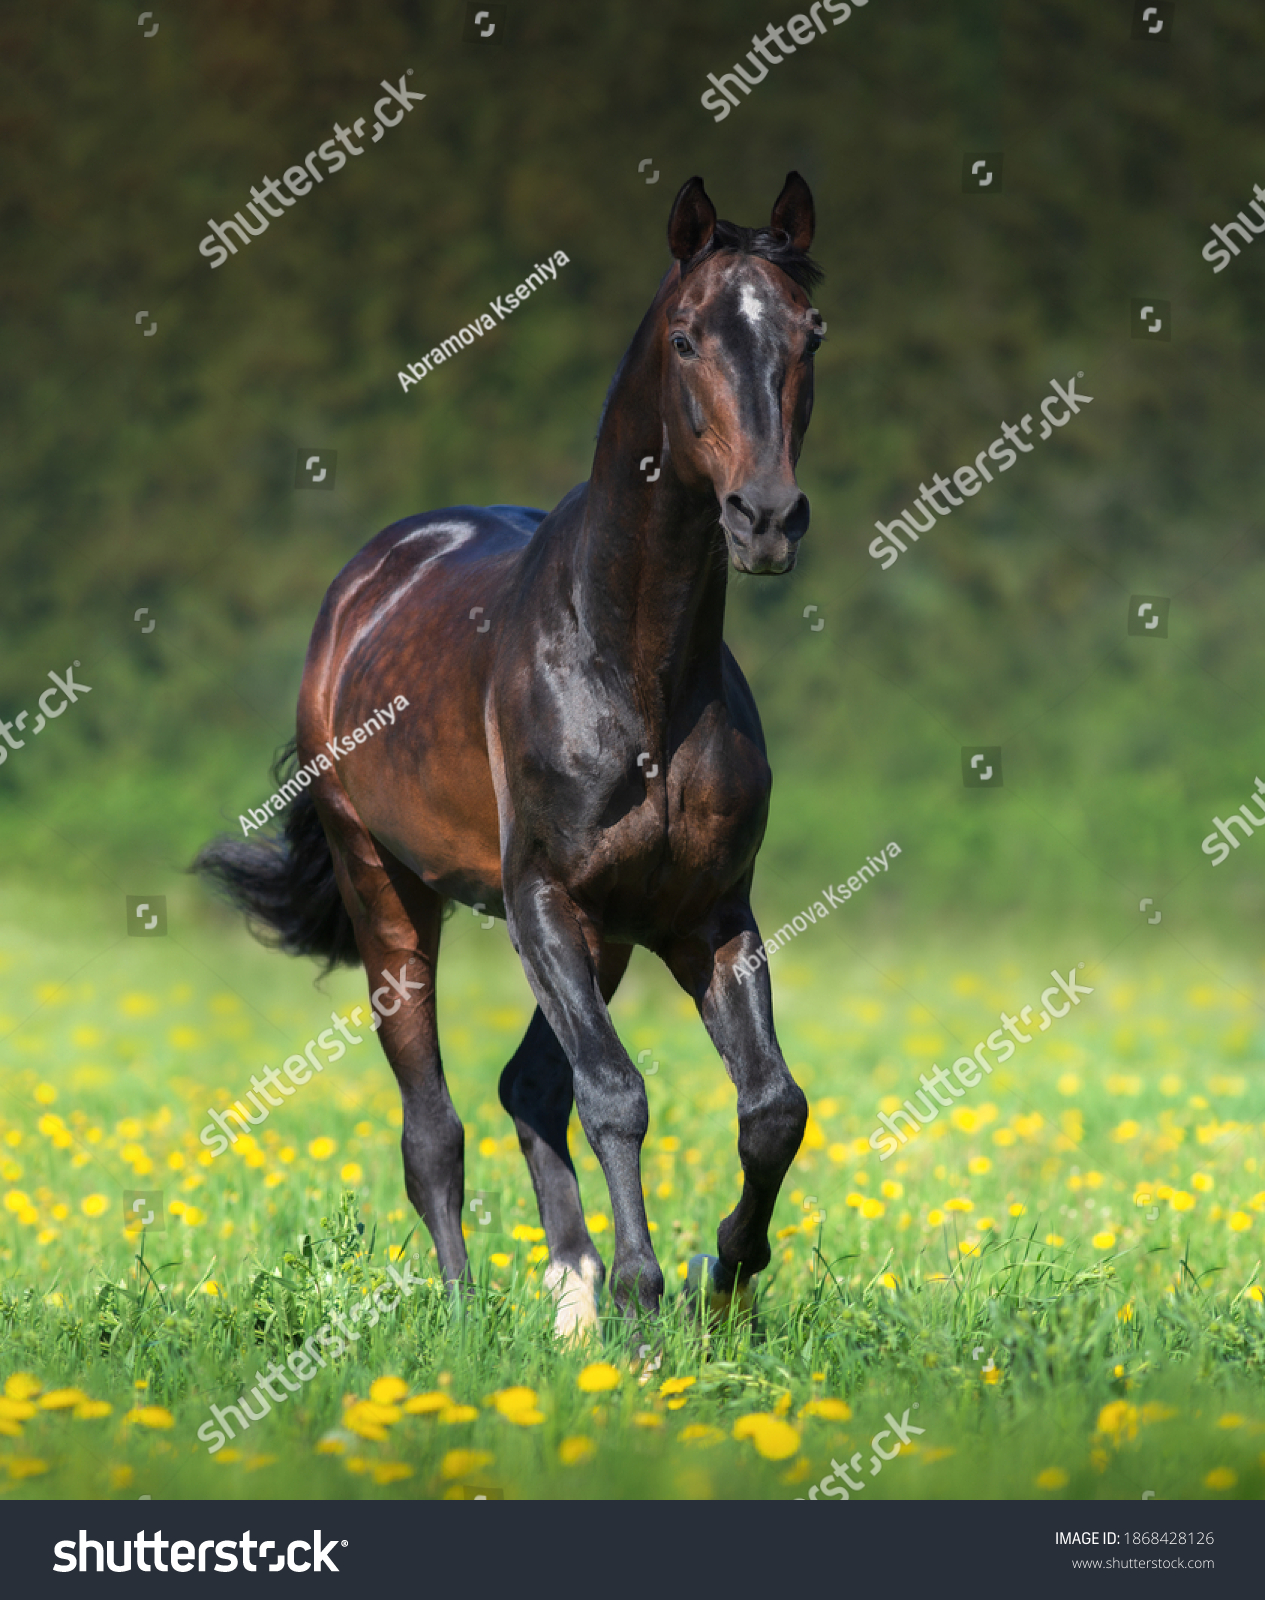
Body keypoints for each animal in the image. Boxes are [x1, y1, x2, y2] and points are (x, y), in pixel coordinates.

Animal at [195, 172, 825, 1336]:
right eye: (685, 336)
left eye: (810, 331)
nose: (765, 517)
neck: (636, 671)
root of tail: (367, 580)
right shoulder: (541, 897)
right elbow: (616, 1093)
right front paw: (640, 1299)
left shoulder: (705, 915)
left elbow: (769, 1106)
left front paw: (719, 1280)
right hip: (390, 894)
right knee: (431, 1125)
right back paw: (464, 1312)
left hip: (604, 935)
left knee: (527, 1085)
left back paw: (568, 1293)